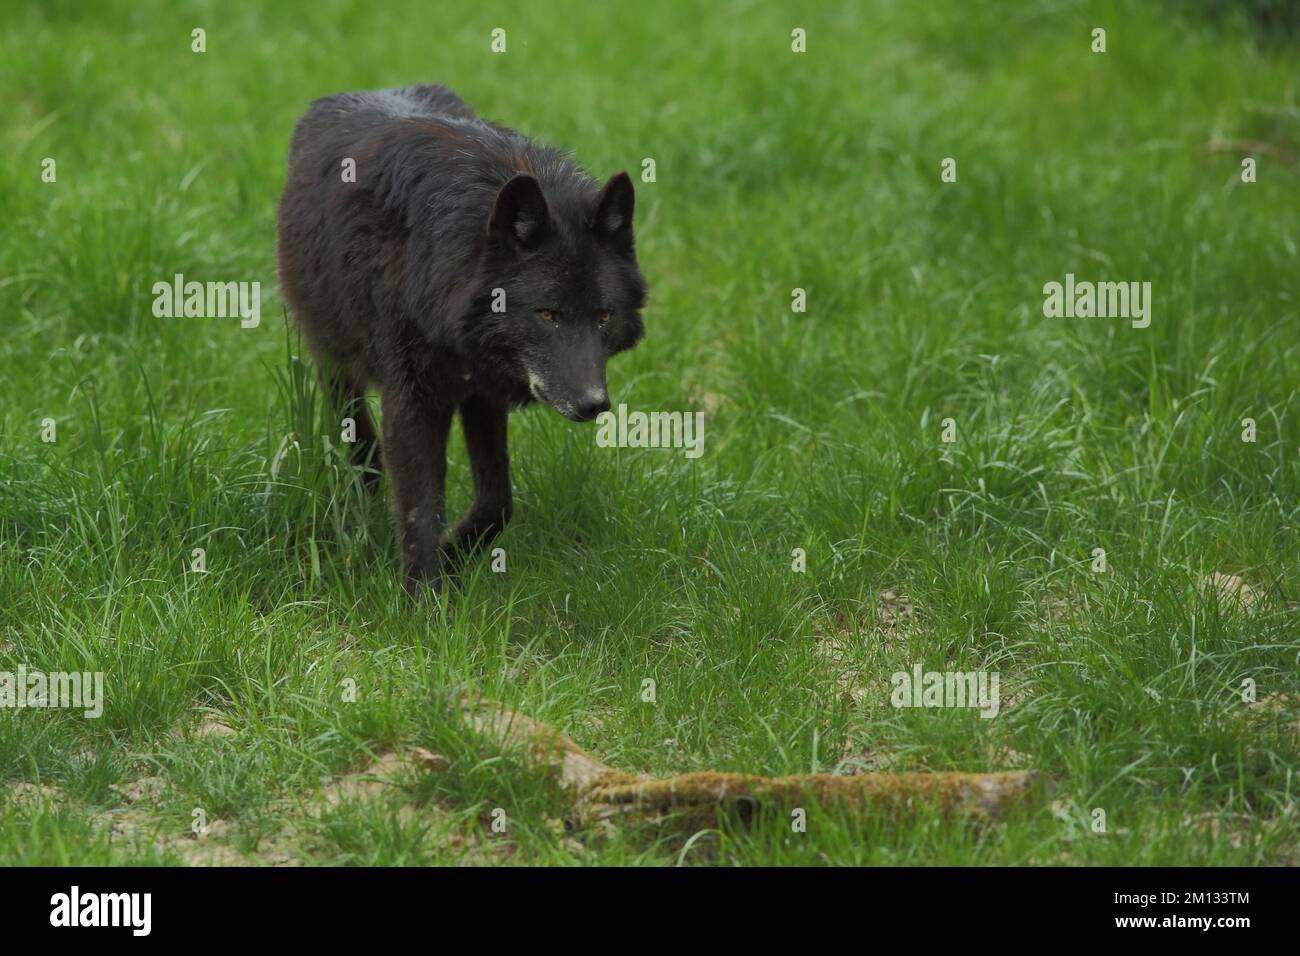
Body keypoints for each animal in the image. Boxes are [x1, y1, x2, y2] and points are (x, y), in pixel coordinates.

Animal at [276, 85, 647, 596]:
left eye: (604, 316)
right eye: (548, 314)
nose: (593, 404)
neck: (441, 263)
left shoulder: (483, 392)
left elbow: (498, 503)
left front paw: (453, 556)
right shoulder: (410, 399)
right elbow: (419, 509)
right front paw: (423, 602)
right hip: (334, 359)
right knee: (358, 433)